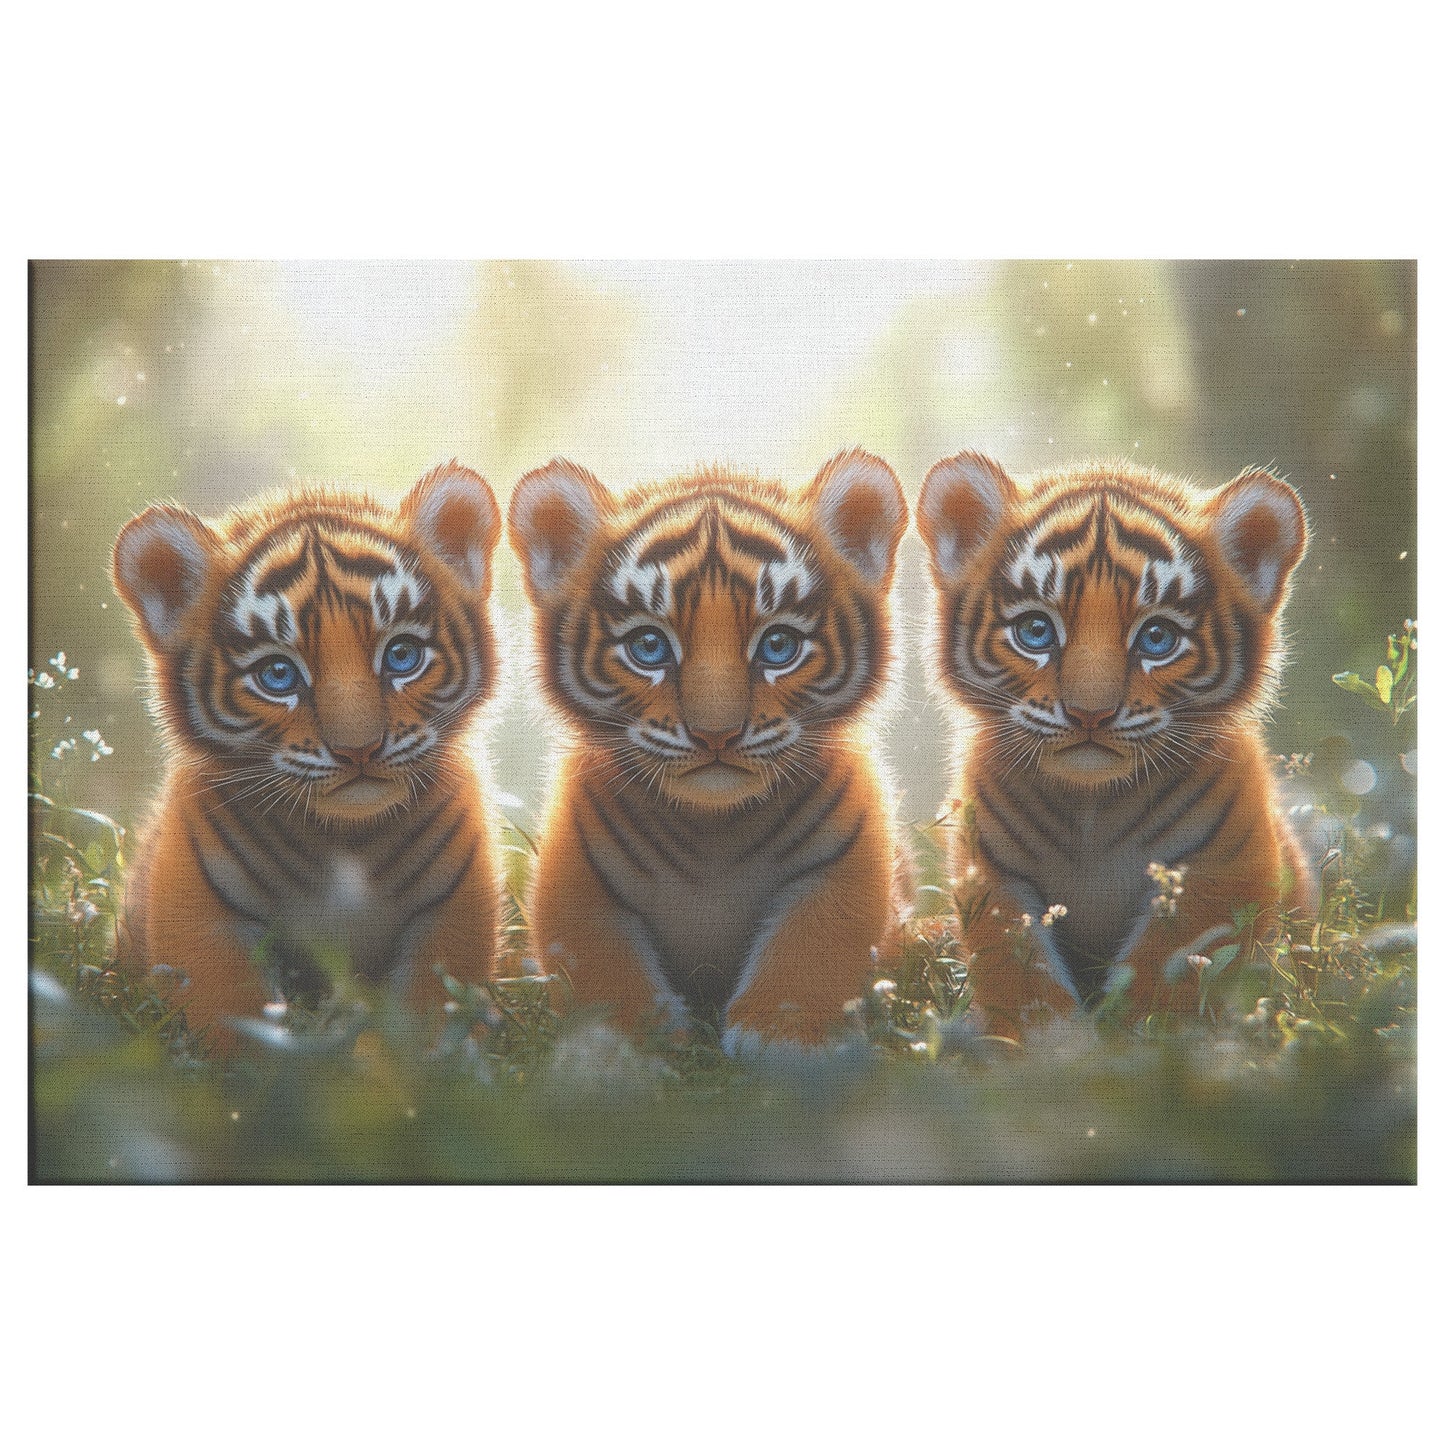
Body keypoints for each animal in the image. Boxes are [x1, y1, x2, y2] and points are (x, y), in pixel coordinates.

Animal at [110, 461, 504, 1048]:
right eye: (278, 675)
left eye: (402, 655)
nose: (358, 749)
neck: (345, 839)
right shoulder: (205, 915)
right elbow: (231, 1020)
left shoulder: (449, 912)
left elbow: (426, 1019)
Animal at [507, 450, 908, 1051]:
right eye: (648, 647)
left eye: (779, 646)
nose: (716, 734)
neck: (713, 834)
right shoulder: (575, 877)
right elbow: (604, 977)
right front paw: (627, 1051)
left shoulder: (843, 861)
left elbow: (811, 949)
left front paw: (783, 1038)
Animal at [915, 451, 1310, 1036]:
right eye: (1036, 631)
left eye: (1157, 638)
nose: (1090, 714)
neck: (1092, 808)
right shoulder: (996, 877)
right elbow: (1023, 980)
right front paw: (1053, 1047)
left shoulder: (1219, 871)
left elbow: (1165, 978)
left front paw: (1132, 1045)